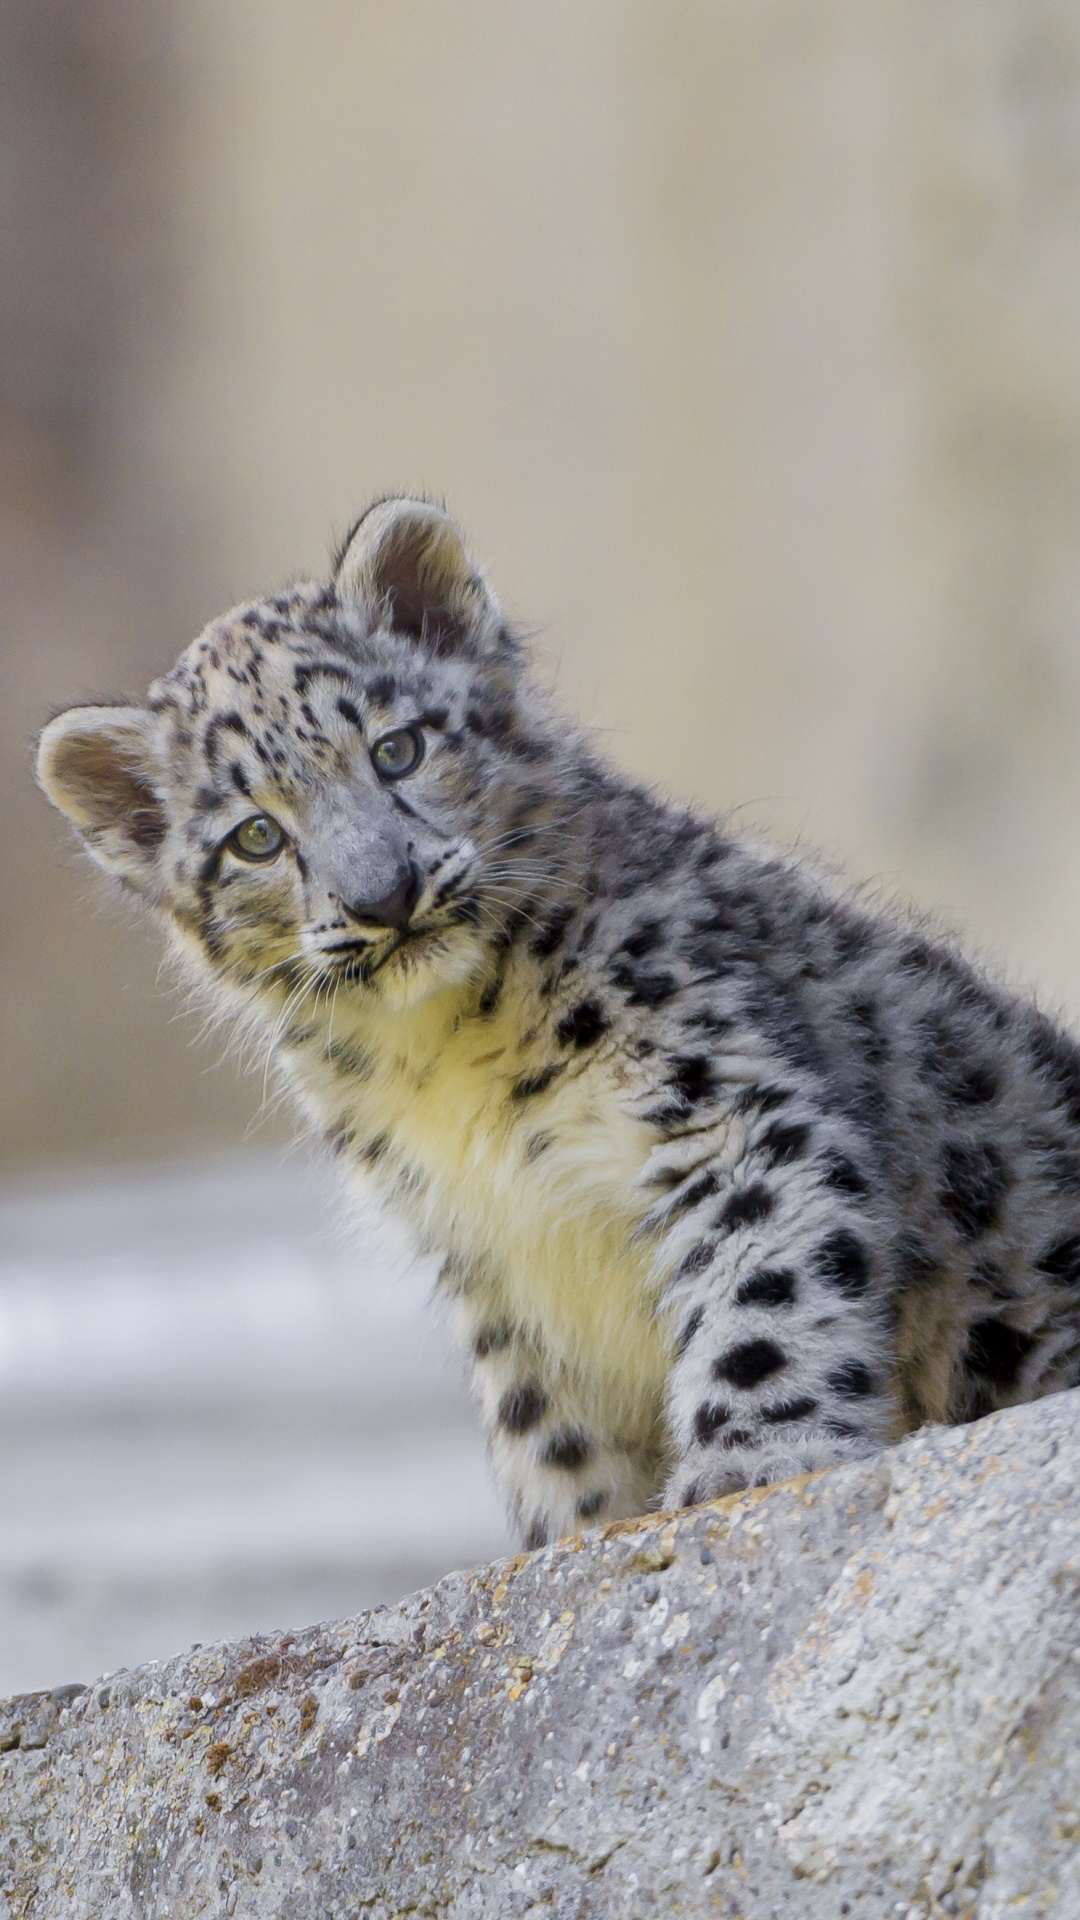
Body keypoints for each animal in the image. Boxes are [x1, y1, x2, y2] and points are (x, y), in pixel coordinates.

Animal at [36, 495, 1080, 1549]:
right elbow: (547, 1432)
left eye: (398, 747)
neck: (445, 1059)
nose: (384, 895)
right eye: (255, 836)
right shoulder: (493, 1272)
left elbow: (759, 1289)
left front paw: (749, 1465)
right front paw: (572, 1530)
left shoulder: (724, 1104)